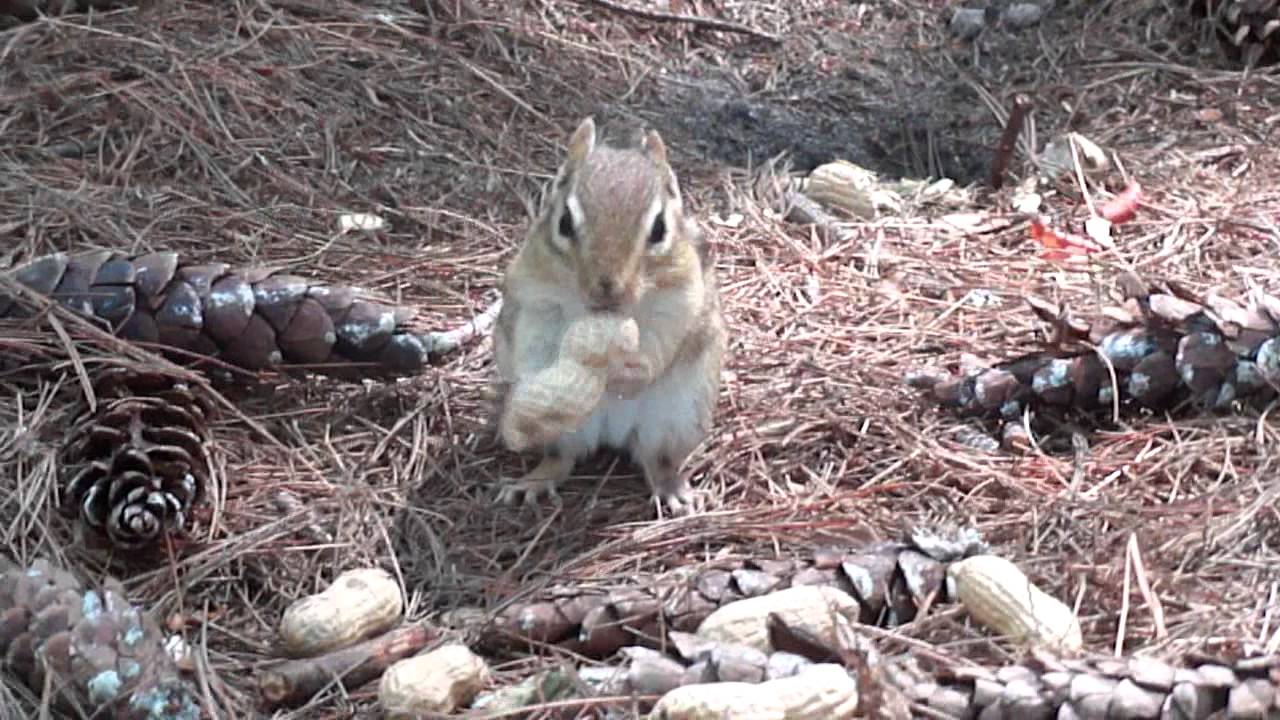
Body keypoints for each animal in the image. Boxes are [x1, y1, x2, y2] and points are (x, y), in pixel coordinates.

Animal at [491, 116, 727, 517]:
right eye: (564, 222)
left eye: (659, 228)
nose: (607, 289)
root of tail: (611, 430)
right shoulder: (534, 294)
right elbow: (537, 337)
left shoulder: (682, 298)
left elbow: (665, 339)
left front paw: (635, 372)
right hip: (565, 433)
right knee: (561, 458)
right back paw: (534, 481)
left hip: (678, 419)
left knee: (657, 460)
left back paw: (673, 490)